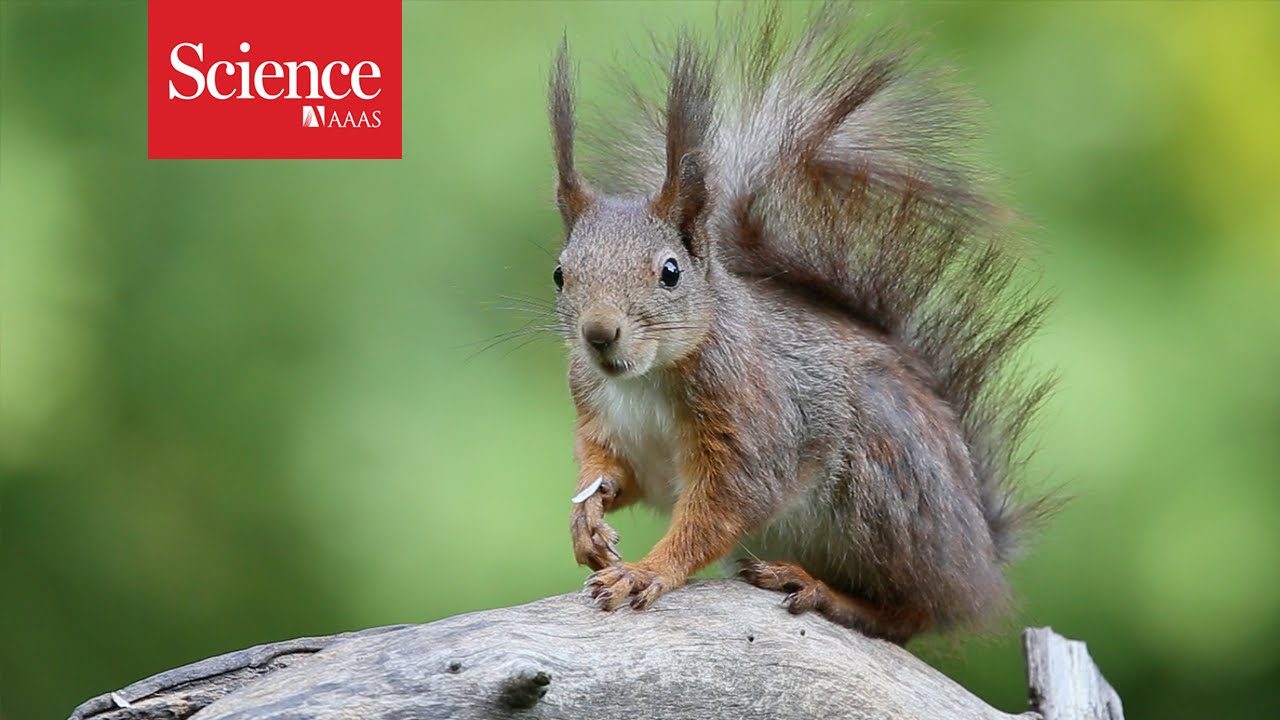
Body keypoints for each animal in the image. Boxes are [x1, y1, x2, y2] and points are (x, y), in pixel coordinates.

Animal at [547, 5, 1054, 644]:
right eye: (560, 274)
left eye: (669, 272)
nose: (599, 335)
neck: (644, 378)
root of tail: (982, 557)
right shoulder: (602, 418)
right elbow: (611, 474)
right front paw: (584, 520)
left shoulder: (754, 418)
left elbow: (723, 508)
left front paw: (646, 571)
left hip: (888, 477)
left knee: (913, 612)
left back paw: (820, 589)